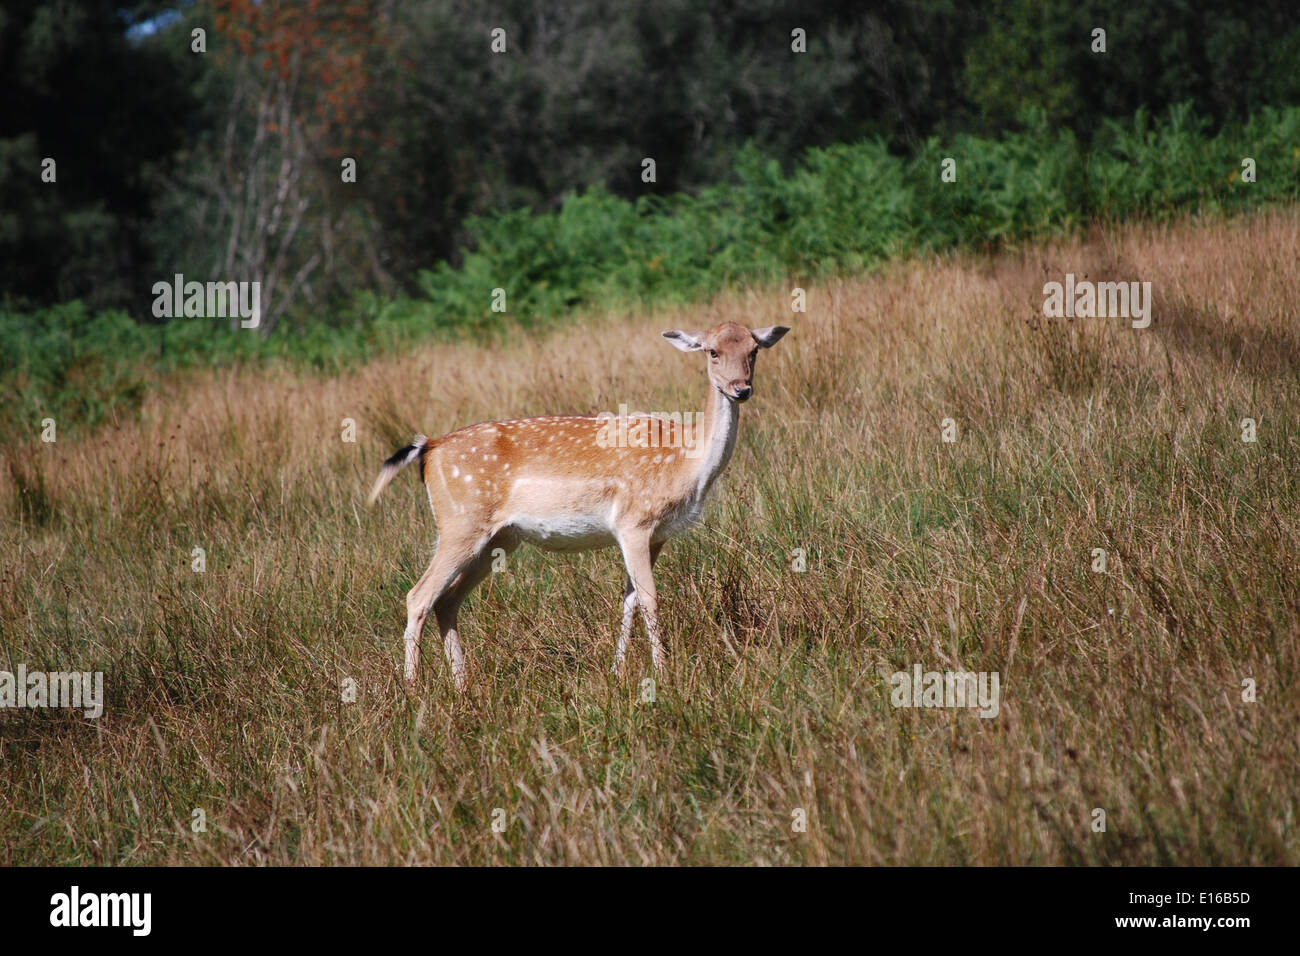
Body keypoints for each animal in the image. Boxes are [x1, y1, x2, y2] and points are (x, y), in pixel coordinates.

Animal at [368, 321, 790, 691]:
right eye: (712, 351)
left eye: (754, 349)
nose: (741, 389)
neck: (686, 462)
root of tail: (429, 448)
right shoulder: (634, 522)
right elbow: (650, 600)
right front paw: (664, 674)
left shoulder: (656, 535)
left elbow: (629, 600)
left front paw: (618, 673)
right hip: (460, 524)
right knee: (419, 596)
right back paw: (414, 690)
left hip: (498, 538)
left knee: (447, 600)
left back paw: (462, 685)